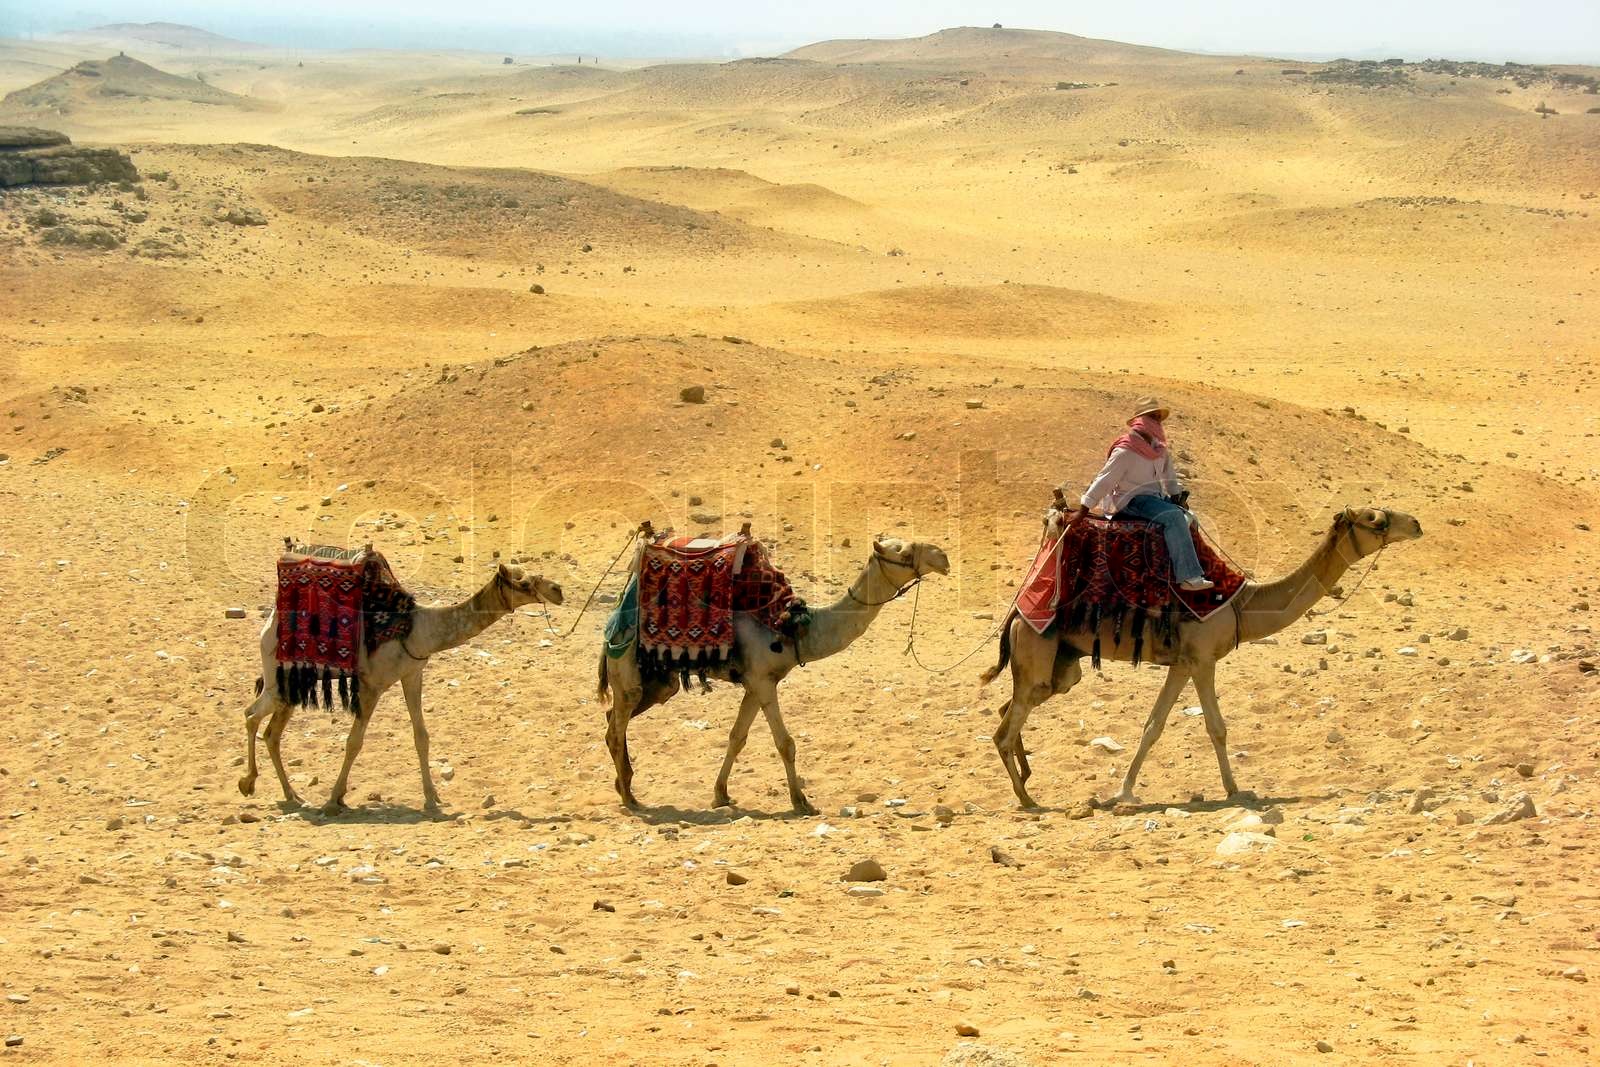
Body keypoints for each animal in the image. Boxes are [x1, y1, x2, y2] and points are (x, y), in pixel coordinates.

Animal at [238, 562, 563, 813]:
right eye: (523, 582)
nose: (558, 589)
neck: (420, 630)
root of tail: (270, 622)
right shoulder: (372, 685)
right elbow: (354, 742)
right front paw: (333, 800)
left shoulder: (413, 673)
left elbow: (422, 737)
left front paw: (433, 799)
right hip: (279, 678)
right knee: (251, 715)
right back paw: (248, 783)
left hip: (293, 685)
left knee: (271, 733)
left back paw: (291, 795)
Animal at [598, 536, 950, 814]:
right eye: (903, 551)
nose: (943, 557)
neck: (792, 627)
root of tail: (614, 624)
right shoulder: (763, 682)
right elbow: (785, 743)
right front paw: (801, 801)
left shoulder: (756, 683)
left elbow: (736, 738)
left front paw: (720, 795)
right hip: (629, 671)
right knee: (615, 727)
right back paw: (630, 798)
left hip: (658, 684)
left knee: (611, 717)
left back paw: (623, 784)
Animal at [980, 506, 1422, 809]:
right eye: (1375, 519)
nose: (1415, 523)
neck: (1240, 603)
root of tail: (1015, 615)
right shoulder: (1204, 658)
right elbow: (1216, 727)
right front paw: (1235, 789)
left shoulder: (1182, 663)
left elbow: (1153, 726)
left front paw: (1125, 791)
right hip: (1038, 650)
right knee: (1003, 728)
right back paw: (1027, 798)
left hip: (1062, 666)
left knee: (1012, 706)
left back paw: (1027, 778)